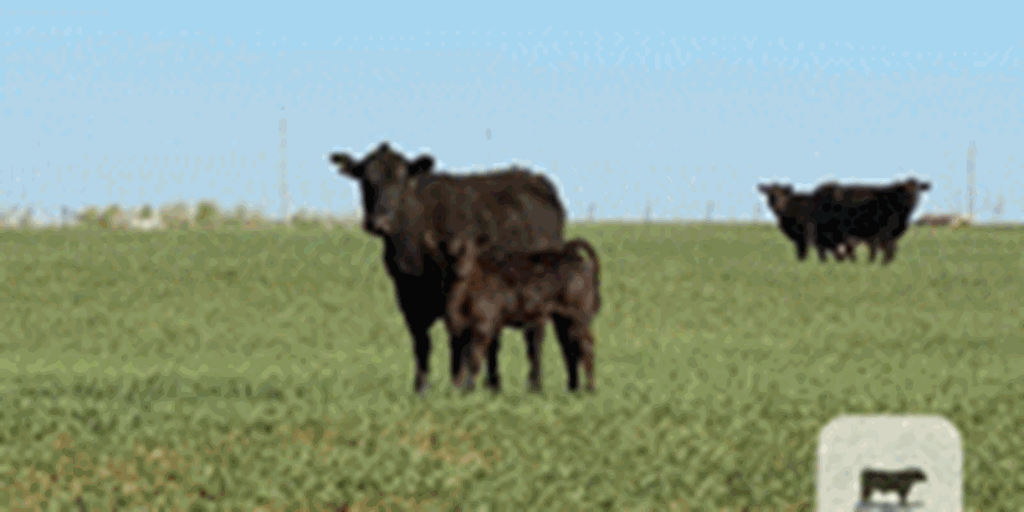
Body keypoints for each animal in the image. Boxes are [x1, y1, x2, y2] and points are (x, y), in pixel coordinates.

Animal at [331, 142, 566, 394]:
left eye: (400, 179)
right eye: (365, 179)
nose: (379, 222)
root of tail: (533, 178)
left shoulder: (450, 290)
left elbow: (455, 340)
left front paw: (456, 385)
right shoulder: (407, 295)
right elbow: (421, 343)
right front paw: (421, 388)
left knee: (534, 336)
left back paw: (534, 385)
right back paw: (493, 385)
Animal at [440, 236, 602, 393]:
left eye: (472, 251)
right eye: (451, 253)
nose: (461, 269)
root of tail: (571, 255)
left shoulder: (483, 326)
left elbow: (473, 359)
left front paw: (469, 391)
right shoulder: (457, 330)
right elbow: (458, 362)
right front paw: (457, 390)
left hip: (578, 318)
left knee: (586, 346)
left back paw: (590, 389)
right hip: (562, 320)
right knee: (569, 350)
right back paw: (572, 388)